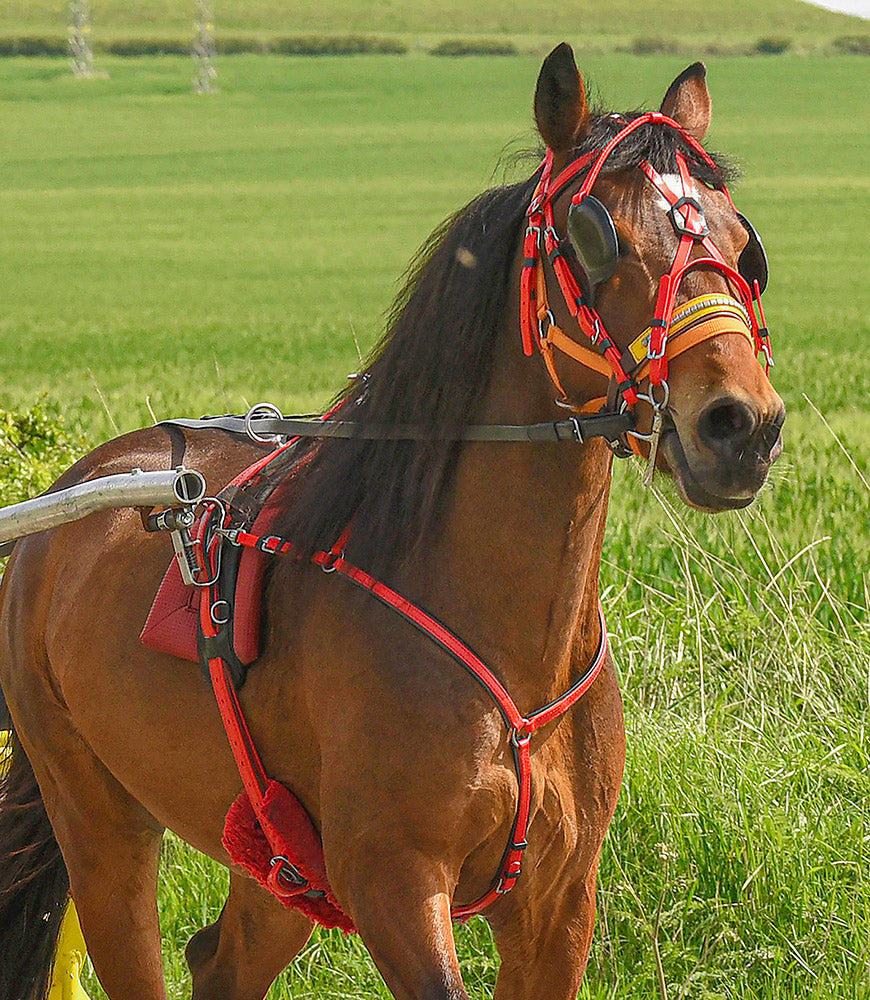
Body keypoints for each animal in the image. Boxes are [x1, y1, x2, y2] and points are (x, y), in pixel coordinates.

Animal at [0, 44, 784, 1000]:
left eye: (744, 243)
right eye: (597, 239)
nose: (740, 424)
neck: (504, 634)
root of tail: (73, 499)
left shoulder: (561, 900)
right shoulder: (394, 883)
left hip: (276, 855)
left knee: (222, 959)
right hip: (96, 813)